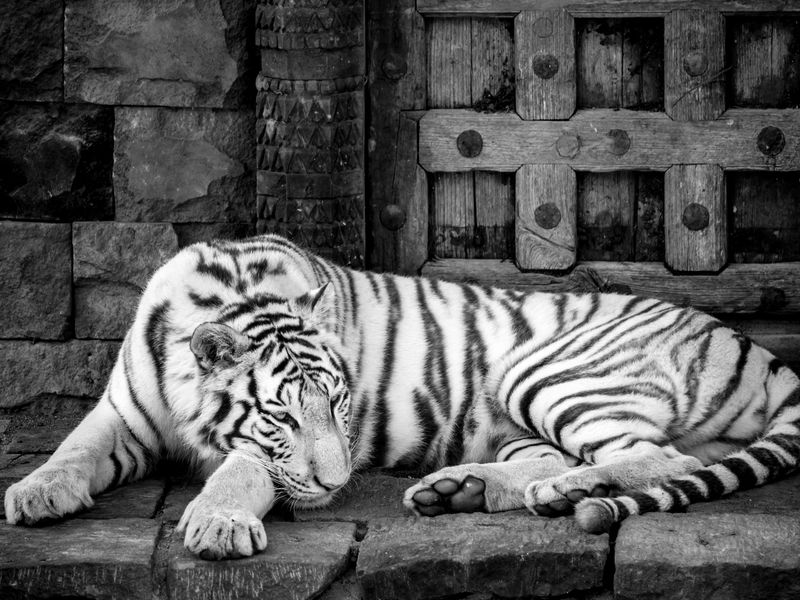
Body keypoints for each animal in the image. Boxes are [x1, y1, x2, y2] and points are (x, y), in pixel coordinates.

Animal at [5, 234, 800, 560]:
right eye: (283, 414)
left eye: (340, 405)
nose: (338, 483)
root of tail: (748, 342)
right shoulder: (122, 414)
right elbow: (73, 446)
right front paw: (35, 494)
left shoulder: (260, 453)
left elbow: (243, 468)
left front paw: (220, 523)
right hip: (519, 413)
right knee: (557, 459)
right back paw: (459, 490)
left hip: (550, 373)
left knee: (661, 457)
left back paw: (565, 493)